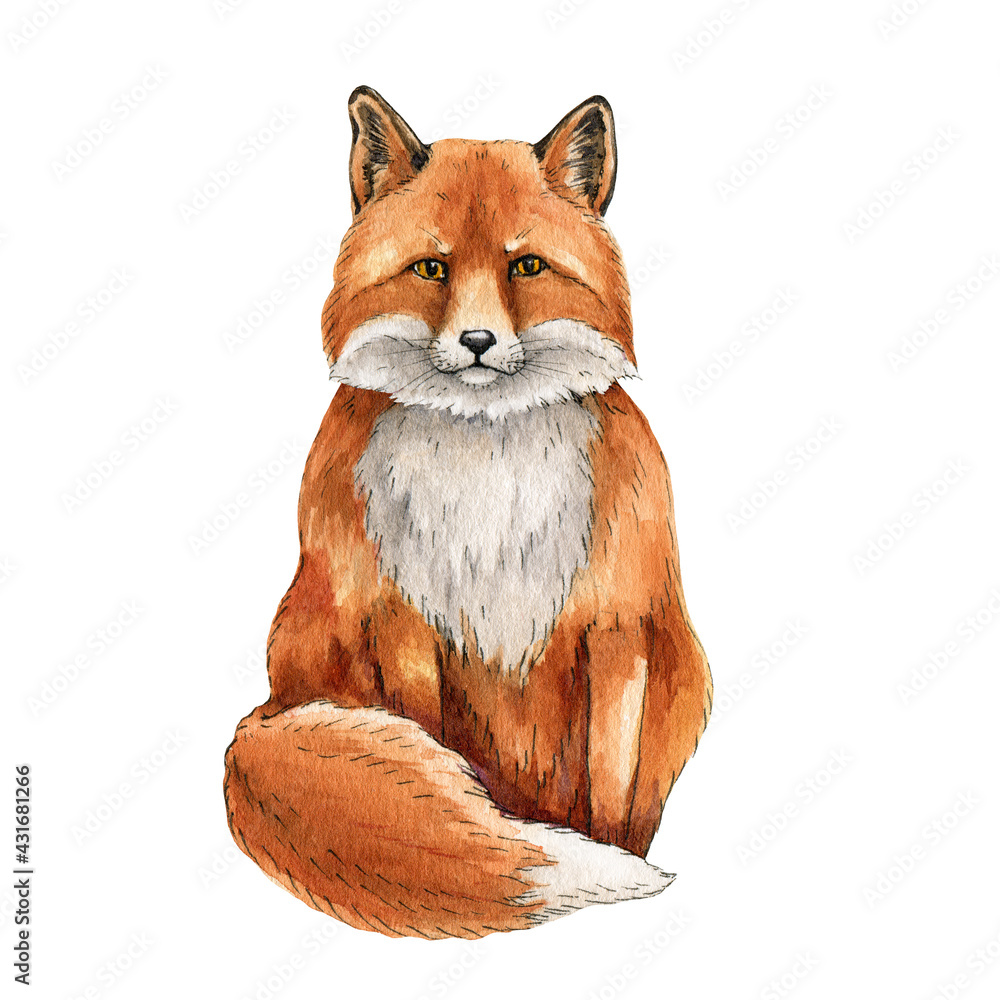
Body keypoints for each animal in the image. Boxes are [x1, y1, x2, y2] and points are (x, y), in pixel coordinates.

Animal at [224, 86, 712, 940]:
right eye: (431, 268)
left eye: (526, 266)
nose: (478, 341)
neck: (487, 465)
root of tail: (262, 717)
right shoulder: (402, 619)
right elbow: (438, 740)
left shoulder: (617, 625)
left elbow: (612, 784)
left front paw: (616, 851)